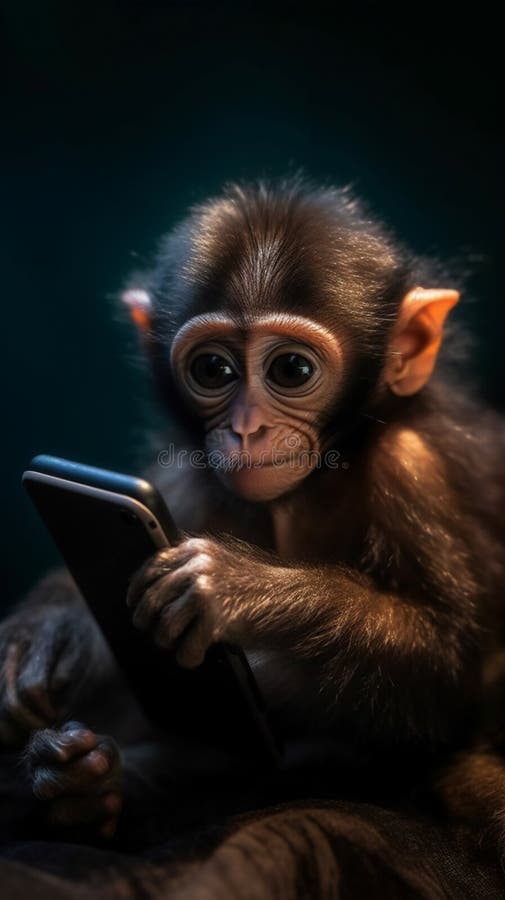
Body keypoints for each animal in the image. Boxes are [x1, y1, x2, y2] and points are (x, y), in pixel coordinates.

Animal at [1, 180, 504, 894]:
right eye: (213, 370)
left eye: (291, 369)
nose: (246, 429)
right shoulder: (185, 479)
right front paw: (47, 634)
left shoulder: (414, 470)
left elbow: (450, 674)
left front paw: (235, 588)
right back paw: (75, 788)